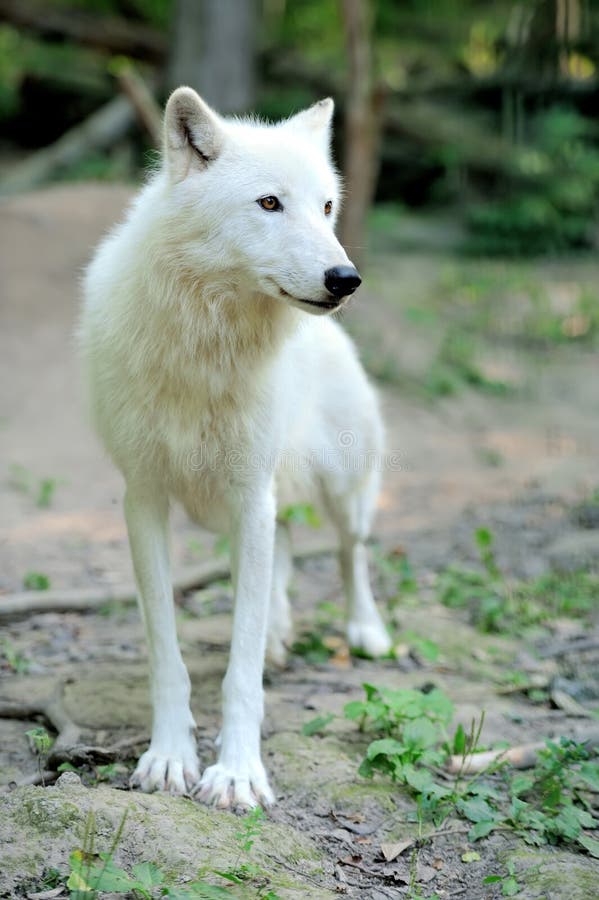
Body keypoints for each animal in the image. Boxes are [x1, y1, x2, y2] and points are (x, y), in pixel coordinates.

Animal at [80, 87, 392, 809]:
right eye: (269, 203)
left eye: (325, 206)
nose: (346, 277)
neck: (209, 347)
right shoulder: (145, 501)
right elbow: (166, 654)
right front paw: (170, 758)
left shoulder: (251, 496)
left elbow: (239, 669)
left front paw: (237, 773)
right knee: (285, 560)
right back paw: (281, 630)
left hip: (339, 488)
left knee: (350, 553)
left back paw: (364, 630)